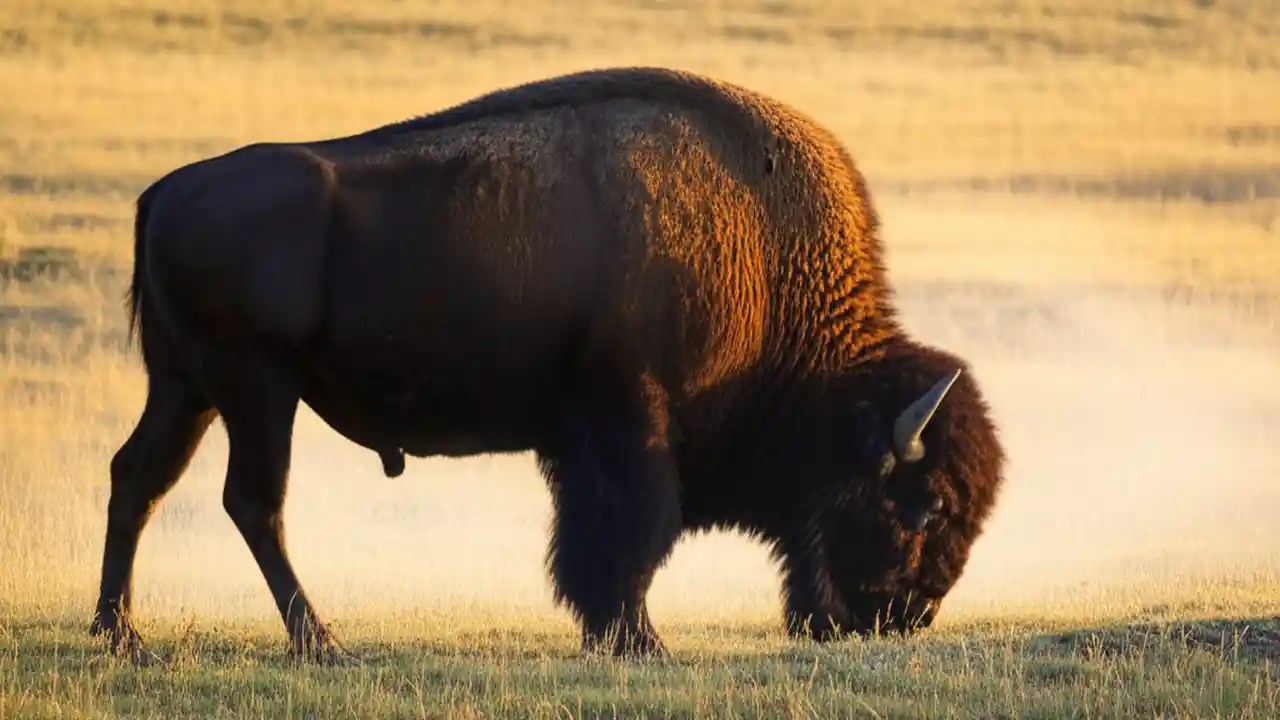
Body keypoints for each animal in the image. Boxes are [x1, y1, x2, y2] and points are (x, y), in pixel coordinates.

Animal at [91, 67, 1004, 662]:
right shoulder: (634, 419)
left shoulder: (578, 439)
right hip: (256, 390)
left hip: (187, 389)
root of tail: (162, 192)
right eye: (925, 508)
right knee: (253, 501)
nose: (906, 617)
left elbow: (589, 538)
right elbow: (636, 529)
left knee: (138, 477)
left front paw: (608, 631)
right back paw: (320, 643)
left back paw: (120, 635)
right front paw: (641, 640)